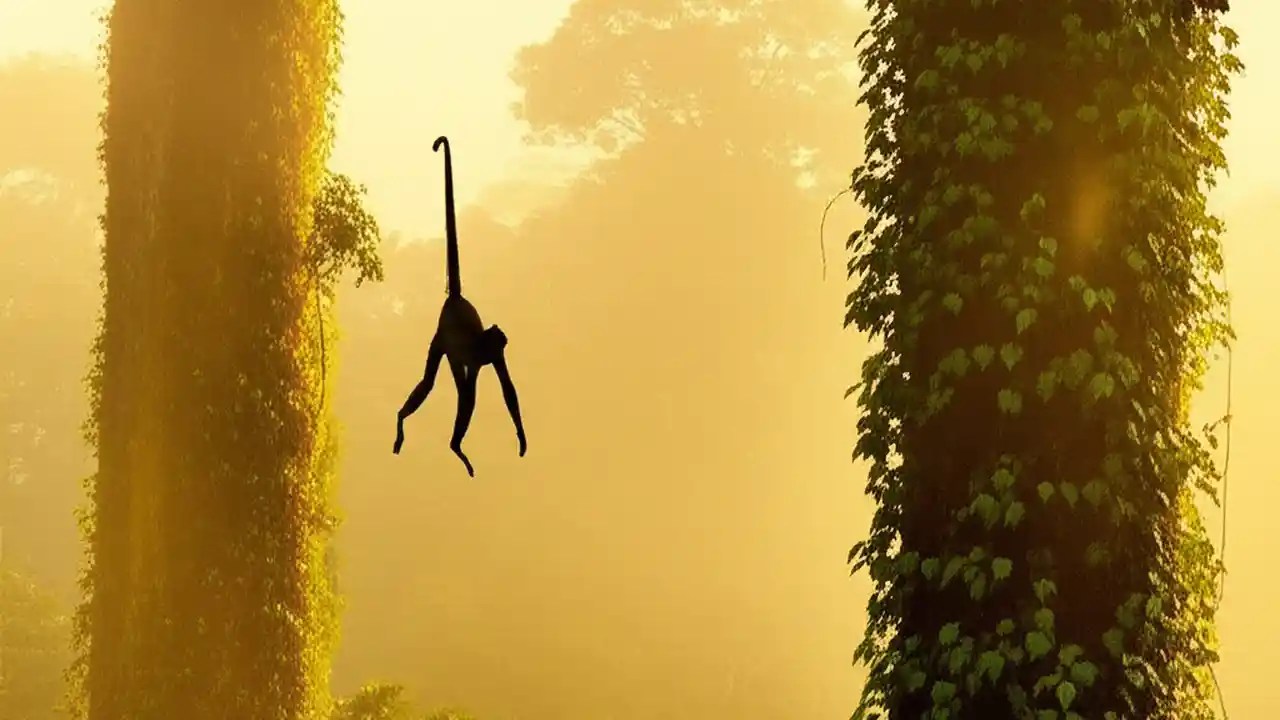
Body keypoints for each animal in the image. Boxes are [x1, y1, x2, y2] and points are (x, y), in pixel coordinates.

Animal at [392, 136, 527, 476]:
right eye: (500, 339)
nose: (504, 340)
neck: (481, 342)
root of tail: (456, 297)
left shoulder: (491, 356)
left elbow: (506, 389)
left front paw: (521, 438)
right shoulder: (475, 355)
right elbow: (467, 395)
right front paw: (456, 448)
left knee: (433, 382)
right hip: (442, 336)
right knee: (434, 382)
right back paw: (403, 421)